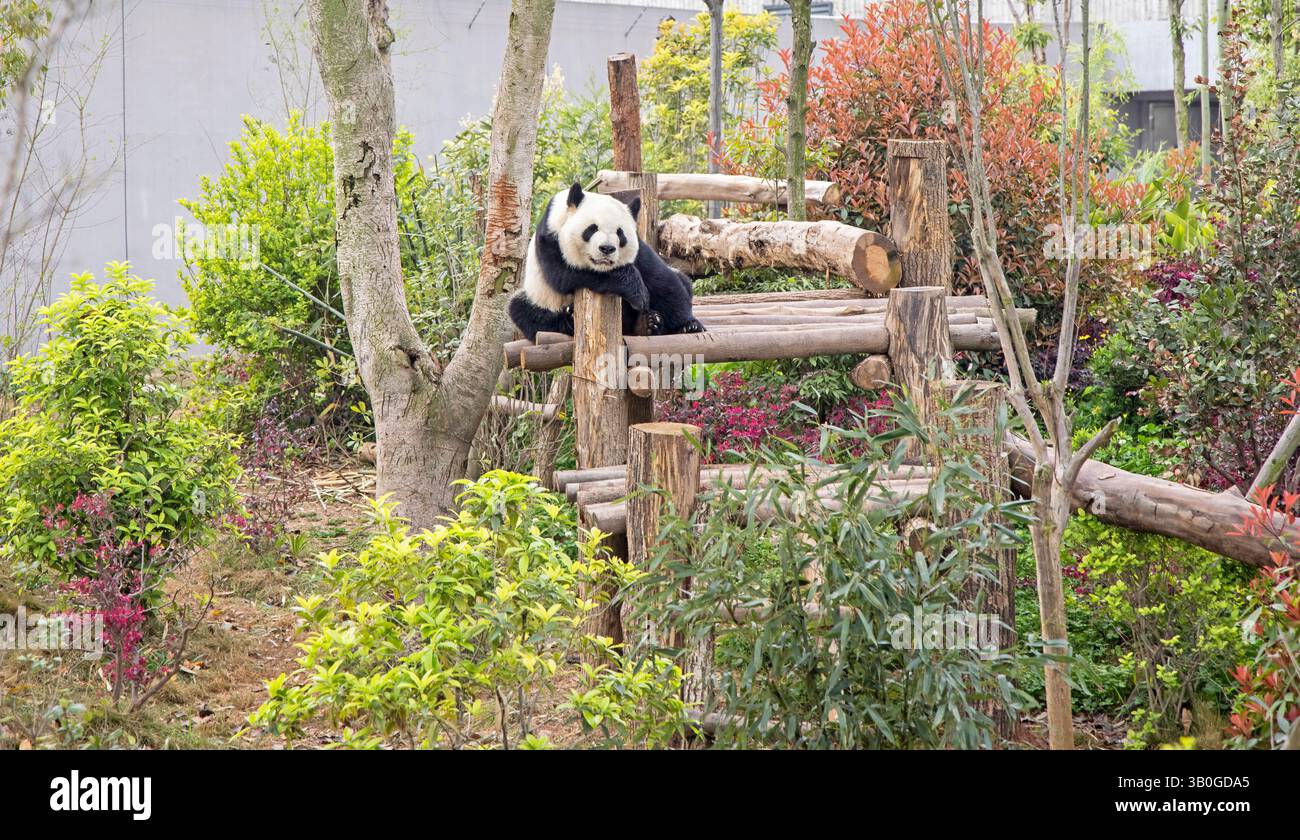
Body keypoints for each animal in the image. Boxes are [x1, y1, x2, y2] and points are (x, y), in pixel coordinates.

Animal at [508, 182, 705, 342]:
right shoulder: (550, 238)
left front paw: (689, 325)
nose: (607, 248)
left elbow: (661, 280)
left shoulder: (639, 250)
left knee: (682, 280)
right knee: (522, 310)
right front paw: (636, 290)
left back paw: (651, 324)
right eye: (592, 229)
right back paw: (569, 318)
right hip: (539, 296)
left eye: (620, 233)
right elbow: (564, 276)